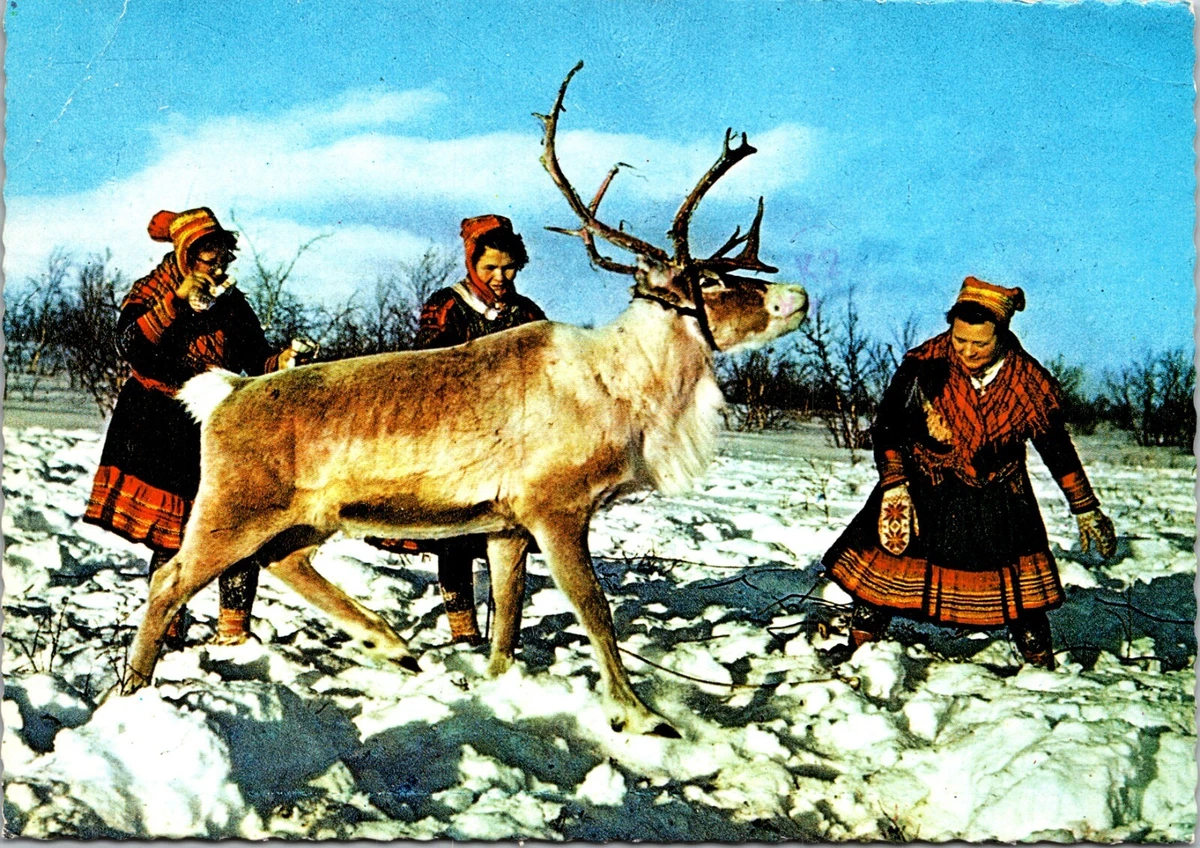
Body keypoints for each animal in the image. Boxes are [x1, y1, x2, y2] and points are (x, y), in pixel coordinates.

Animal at [120, 62, 808, 737]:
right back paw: (131, 692)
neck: (631, 393)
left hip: (308, 516)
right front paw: (637, 714)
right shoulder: (555, 505)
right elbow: (593, 606)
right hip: (233, 507)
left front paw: (499, 683)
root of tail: (227, 395)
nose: (796, 296)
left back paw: (392, 646)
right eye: (711, 281)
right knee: (170, 579)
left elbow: (508, 610)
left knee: (285, 563)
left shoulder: (505, 523)